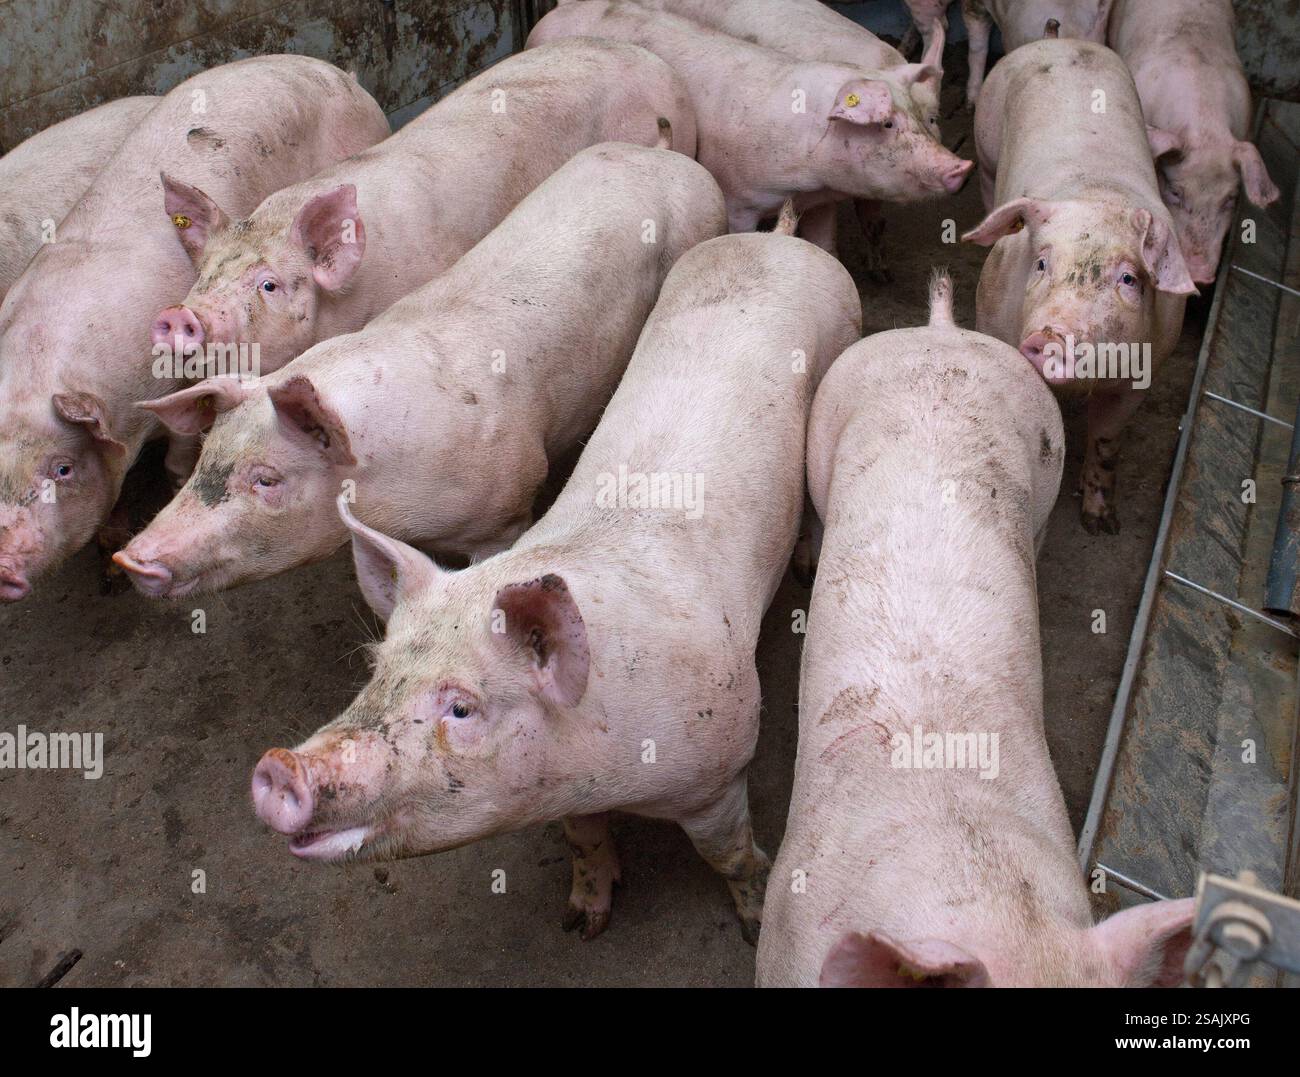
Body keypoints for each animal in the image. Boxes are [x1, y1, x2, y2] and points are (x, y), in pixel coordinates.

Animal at [114, 136, 728, 598]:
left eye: (267, 479)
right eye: (206, 459)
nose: (129, 558)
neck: (387, 481)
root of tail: (670, 158)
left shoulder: (507, 508)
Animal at [248, 223, 863, 942]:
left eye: (462, 708)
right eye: (376, 670)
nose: (278, 765)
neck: (599, 765)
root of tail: (783, 240)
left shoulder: (721, 765)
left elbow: (729, 855)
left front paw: (754, 922)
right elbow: (583, 837)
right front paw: (582, 923)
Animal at [528, 2, 972, 239]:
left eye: (926, 118)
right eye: (887, 124)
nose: (962, 167)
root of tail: (554, 15)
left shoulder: (823, 202)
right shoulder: (736, 199)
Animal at [962, 39, 1196, 534]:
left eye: (1128, 278)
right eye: (1040, 263)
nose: (1052, 335)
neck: (1097, 197)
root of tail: (1059, 38)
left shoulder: (1141, 375)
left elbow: (1106, 442)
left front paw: (1101, 524)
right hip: (986, 146)